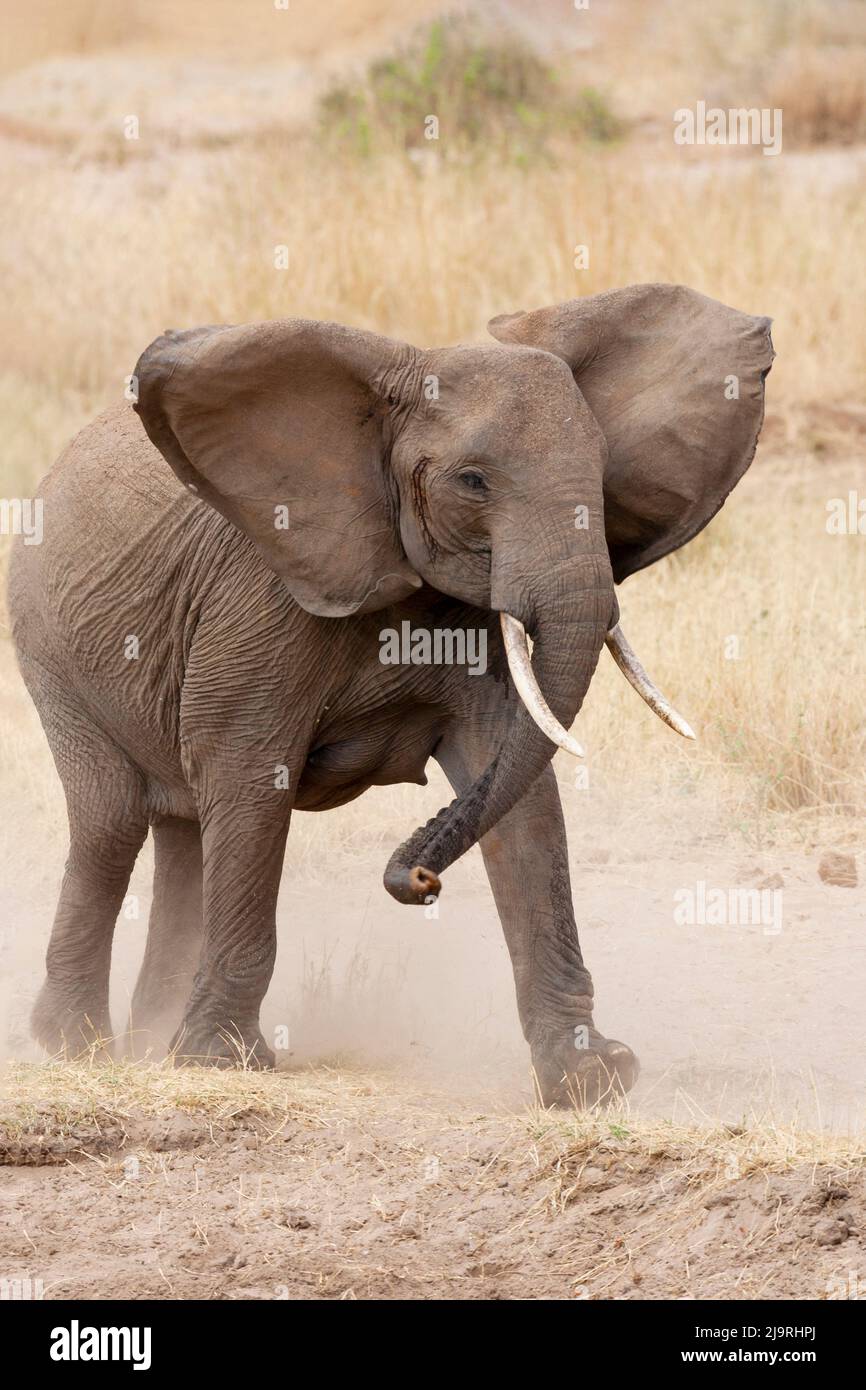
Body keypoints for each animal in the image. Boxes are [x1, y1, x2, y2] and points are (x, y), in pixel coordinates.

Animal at [8, 283, 773, 1105]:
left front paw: (589, 1078)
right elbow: (247, 774)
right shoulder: (262, 599)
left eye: (602, 476)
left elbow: (517, 786)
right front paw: (220, 1061)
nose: (421, 880)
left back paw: (148, 1041)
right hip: (49, 646)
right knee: (112, 822)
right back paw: (81, 1046)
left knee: (183, 827)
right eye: (473, 482)